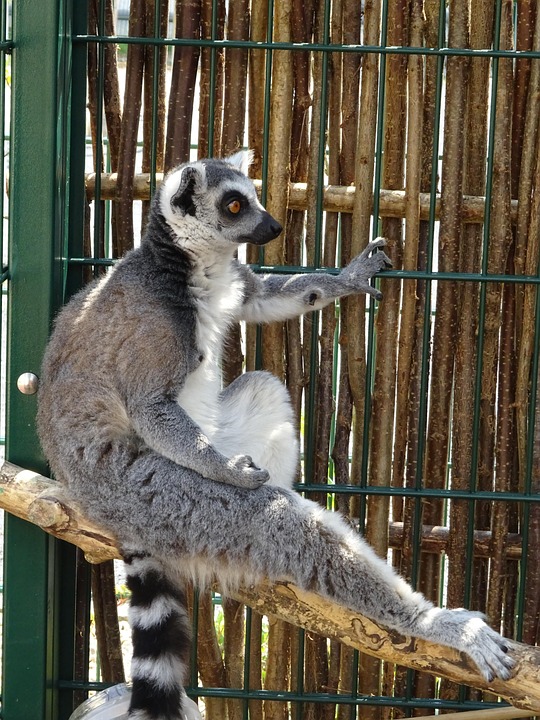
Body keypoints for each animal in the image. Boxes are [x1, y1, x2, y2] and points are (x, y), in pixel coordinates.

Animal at [37, 151, 514, 720]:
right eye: (234, 204)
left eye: (255, 196)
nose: (274, 226)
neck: (194, 267)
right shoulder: (152, 330)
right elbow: (151, 407)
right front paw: (227, 471)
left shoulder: (236, 286)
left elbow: (264, 298)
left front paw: (347, 277)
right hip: (145, 492)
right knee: (273, 521)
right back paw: (434, 622)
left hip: (220, 433)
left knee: (267, 390)